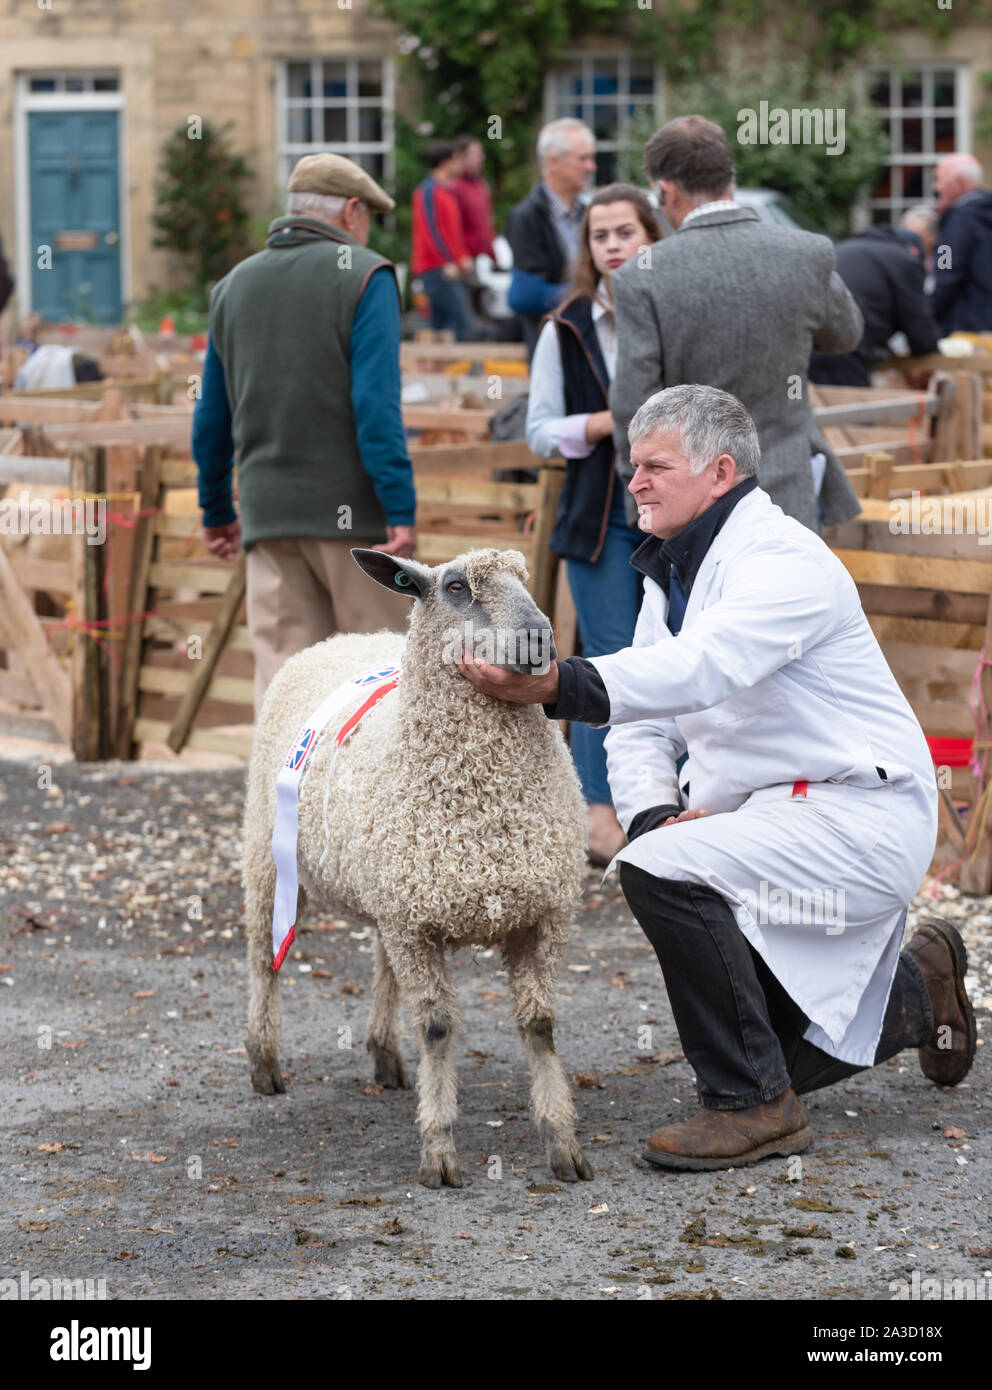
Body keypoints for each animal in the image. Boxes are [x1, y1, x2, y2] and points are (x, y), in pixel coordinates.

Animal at [242, 545, 594, 1188]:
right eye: (456, 587)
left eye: (524, 580)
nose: (539, 637)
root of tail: (344, 638)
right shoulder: (417, 923)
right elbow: (436, 1028)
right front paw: (439, 1149)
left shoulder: (542, 916)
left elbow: (540, 1025)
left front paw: (563, 1142)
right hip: (267, 857)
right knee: (263, 959)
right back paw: (264, 1061)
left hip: (393, 887)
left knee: (381, 962)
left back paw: (384, 1057)